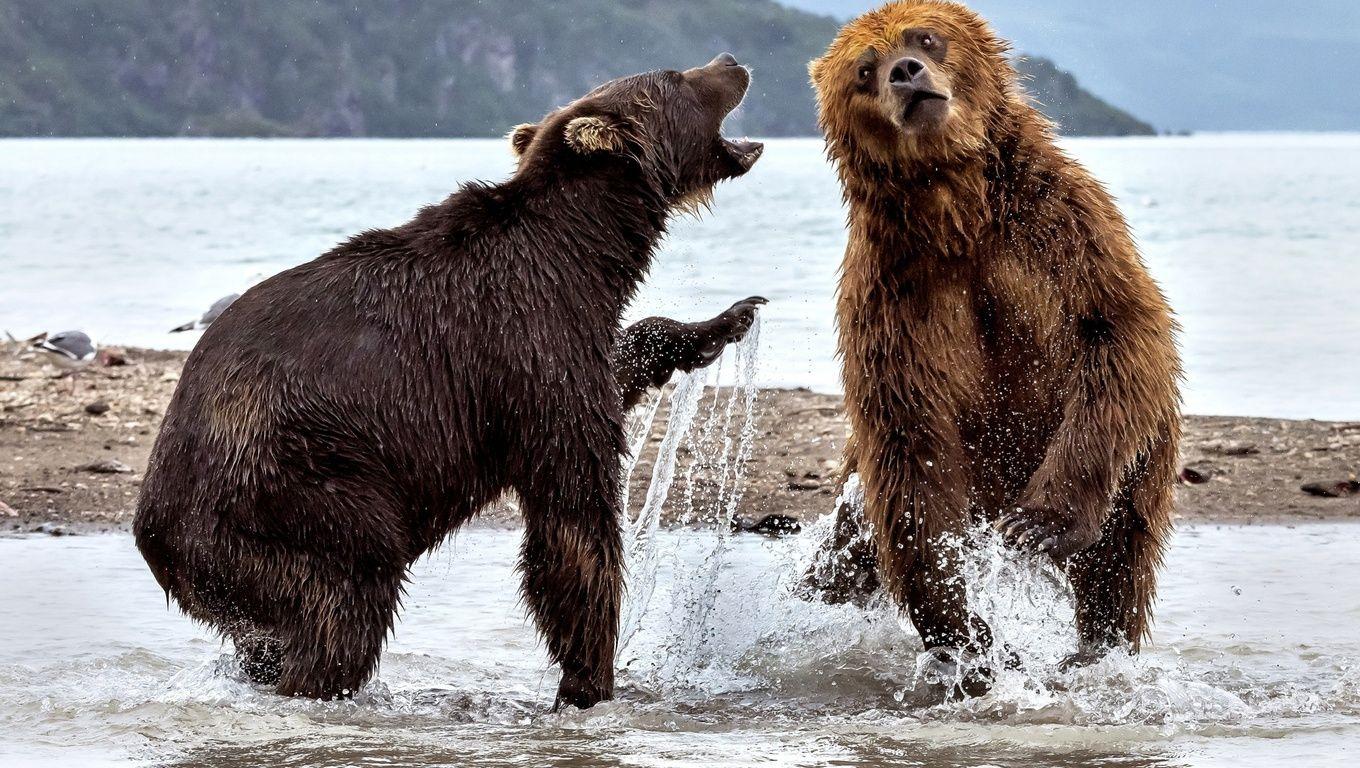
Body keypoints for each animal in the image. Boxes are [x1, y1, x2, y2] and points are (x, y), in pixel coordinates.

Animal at [132, 53, 766, 710]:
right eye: (675, 78)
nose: (730, 62)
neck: (583, 251)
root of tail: (155, 533)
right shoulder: (524, 340)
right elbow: (573, 513)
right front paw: (587, 678)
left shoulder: (562, 335)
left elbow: (617, 366)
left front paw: (723, 321)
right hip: (294, 489)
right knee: (349, 595)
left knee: (270, 634)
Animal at [800, 0, 1182, 689]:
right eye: (864, 70)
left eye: (925, 37)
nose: (904, 73)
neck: (956, 211)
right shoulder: (893, 300)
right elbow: (911, 444)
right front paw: (971, 635)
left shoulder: (1061, 231)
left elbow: (1118, 332)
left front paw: (1039, 525)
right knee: (850, 550)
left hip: (1142, 468)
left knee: (1120, 558)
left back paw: (1095, 647)